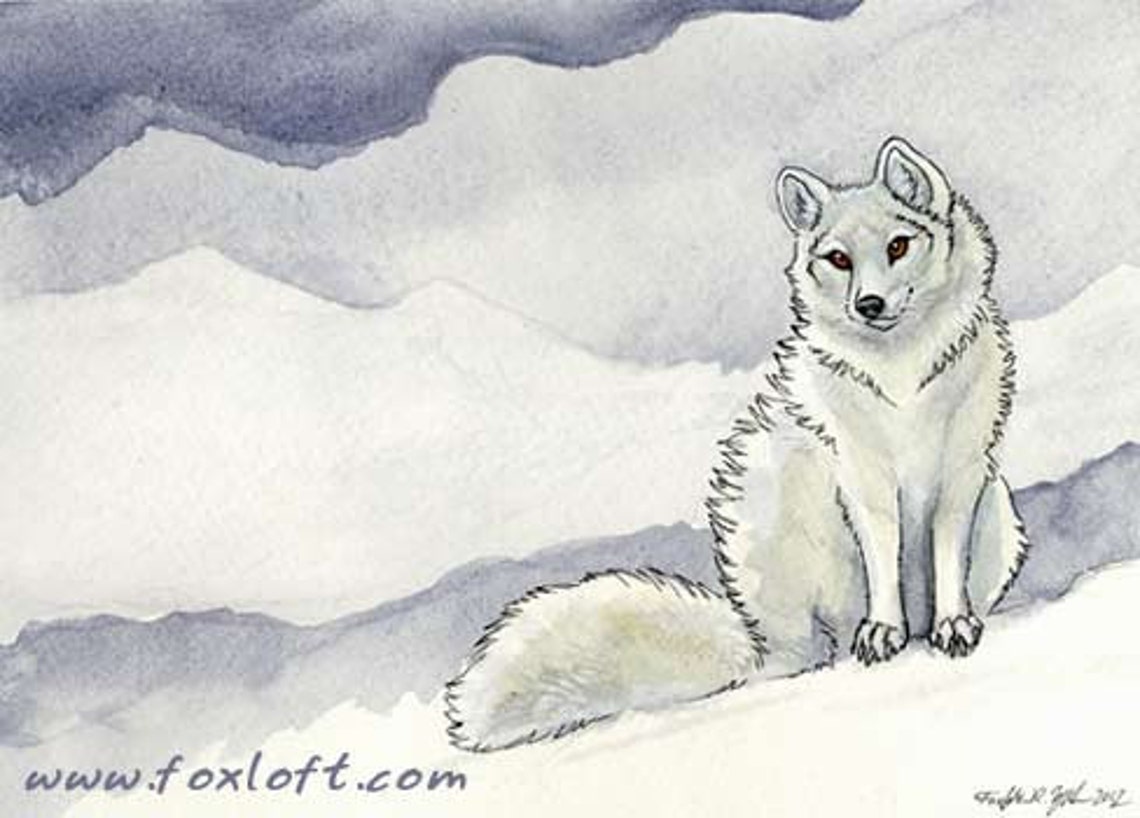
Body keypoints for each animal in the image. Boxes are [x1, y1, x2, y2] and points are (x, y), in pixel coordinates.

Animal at [444, 137, 1030, 752]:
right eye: (838, 259)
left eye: (899, 245)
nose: (868, 304)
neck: (901, 378)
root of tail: (759, 644)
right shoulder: (862, 477)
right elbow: (883, 561)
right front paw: (883, 632)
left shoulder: (964, 469)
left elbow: (947, 557)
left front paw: (954, 624)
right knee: (812, 651)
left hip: (1000, 512)